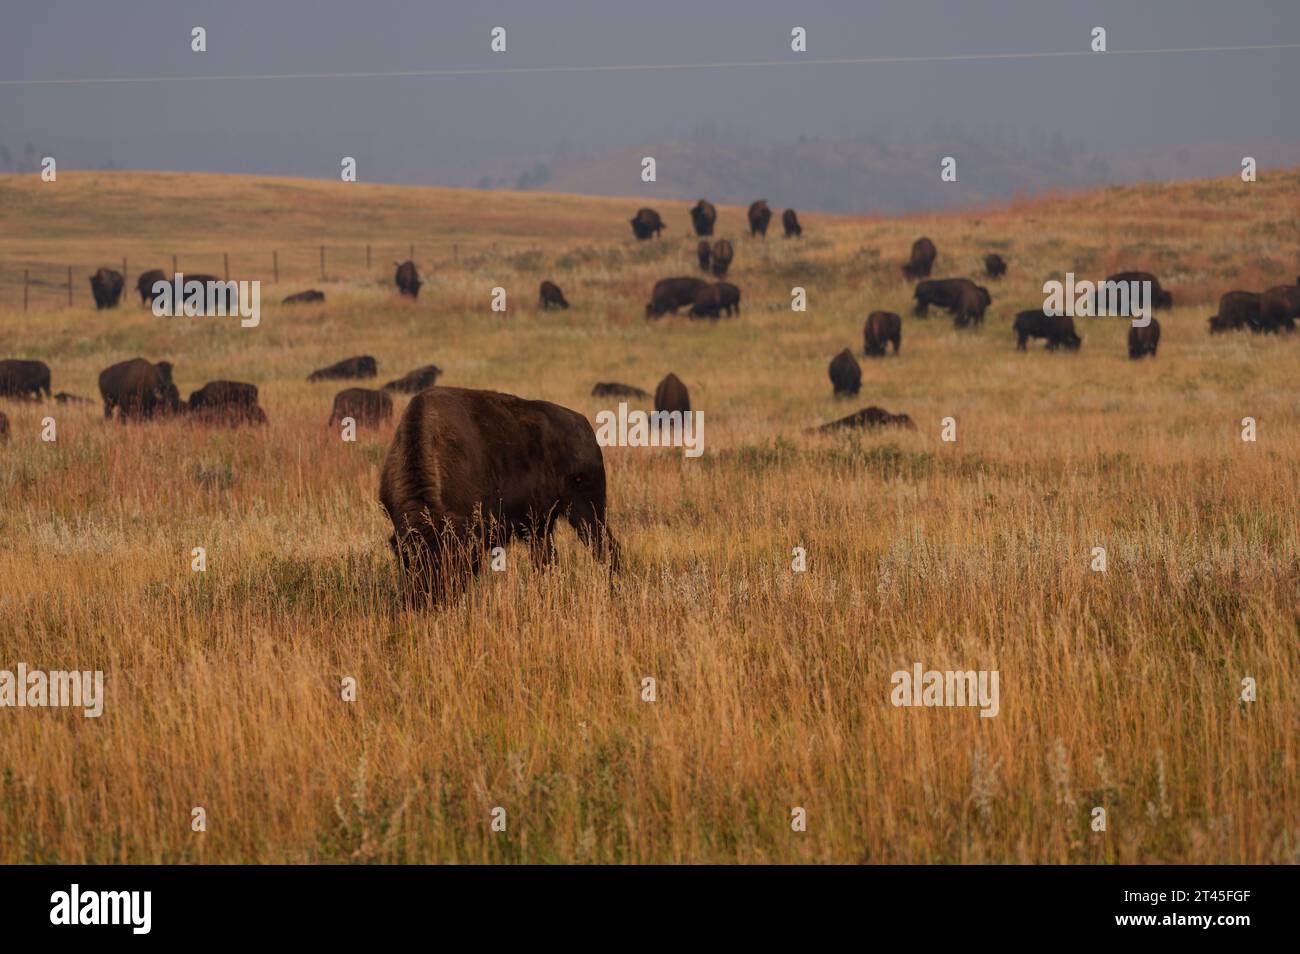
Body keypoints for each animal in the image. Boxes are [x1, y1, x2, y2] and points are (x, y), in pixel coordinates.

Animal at [379, 387, 619, 607]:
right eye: (407, 560)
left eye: (446, 561)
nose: (426, 601)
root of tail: (586, 429)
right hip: (541, 527)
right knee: (547, 559)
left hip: (587, 510)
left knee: (605, 548)